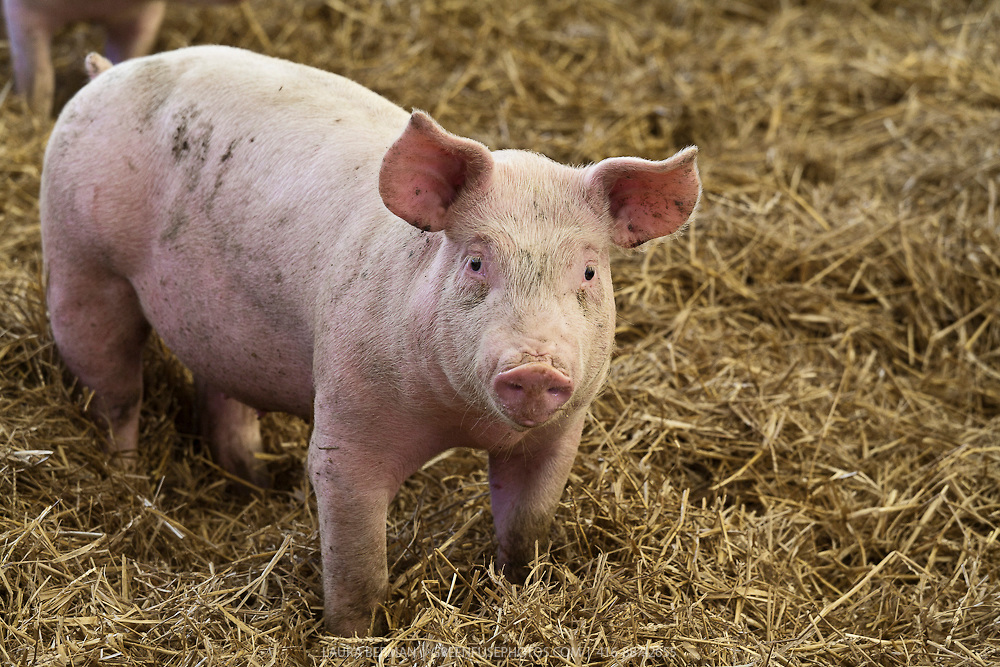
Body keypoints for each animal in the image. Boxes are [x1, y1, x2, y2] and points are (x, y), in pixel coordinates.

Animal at [40, 45, 701, 636]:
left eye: (588, 272)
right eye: (476, 263)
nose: (535, 367)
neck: (461, 421)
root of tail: (106, 72)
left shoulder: (560, 432)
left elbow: (525, 529)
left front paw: (518, 592)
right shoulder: (347, 422)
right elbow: (358, 563)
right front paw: (350, 637)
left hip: (216, 326)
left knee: (220, 396)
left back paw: (256, 478)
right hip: (79, 265)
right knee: (117, 393)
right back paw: (128, 478)